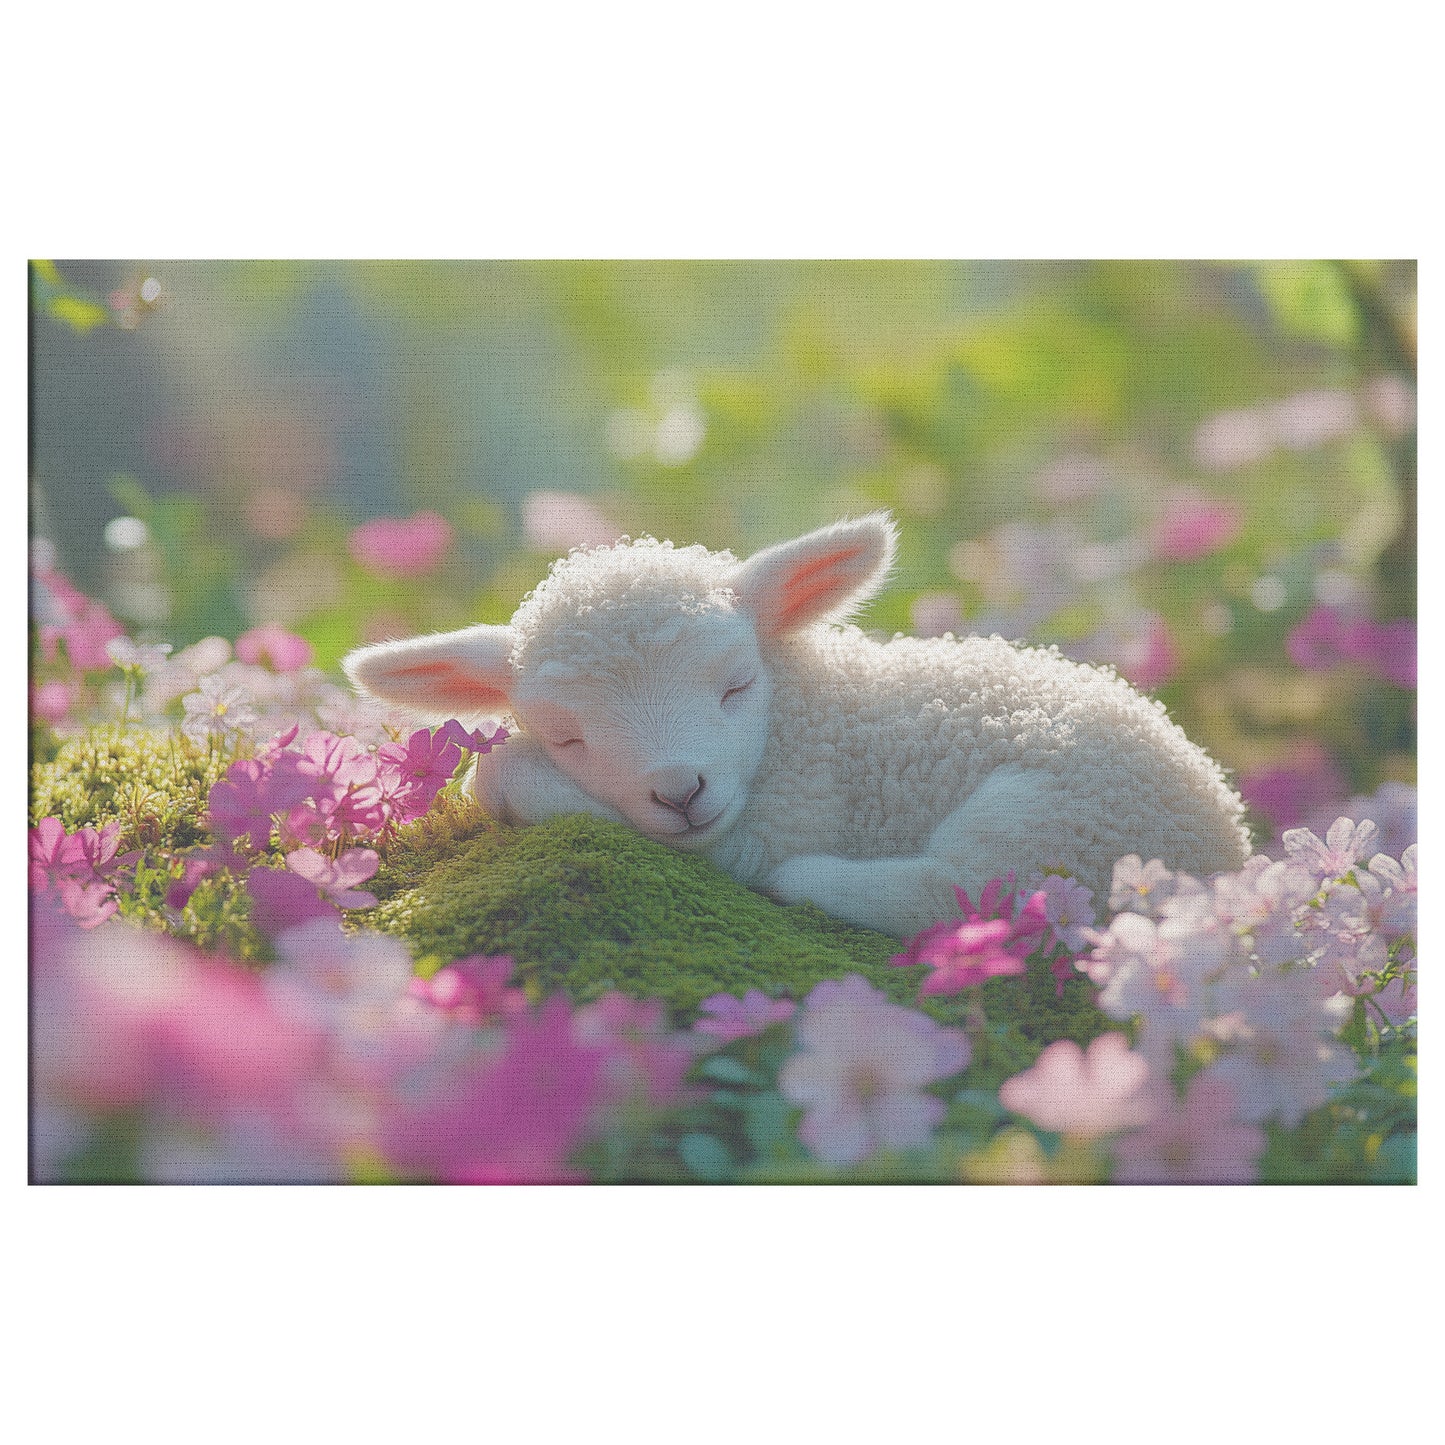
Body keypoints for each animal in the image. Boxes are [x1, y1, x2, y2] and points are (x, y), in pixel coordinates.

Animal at [343, 513, 1252, 938]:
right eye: (569, 734)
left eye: (735, 685)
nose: (679, 790)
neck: (801, 711)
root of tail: (1225, 848)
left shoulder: (768, 821)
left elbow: (496, 774)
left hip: (1057, 824)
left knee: (963, 895)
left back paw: (815, 882)